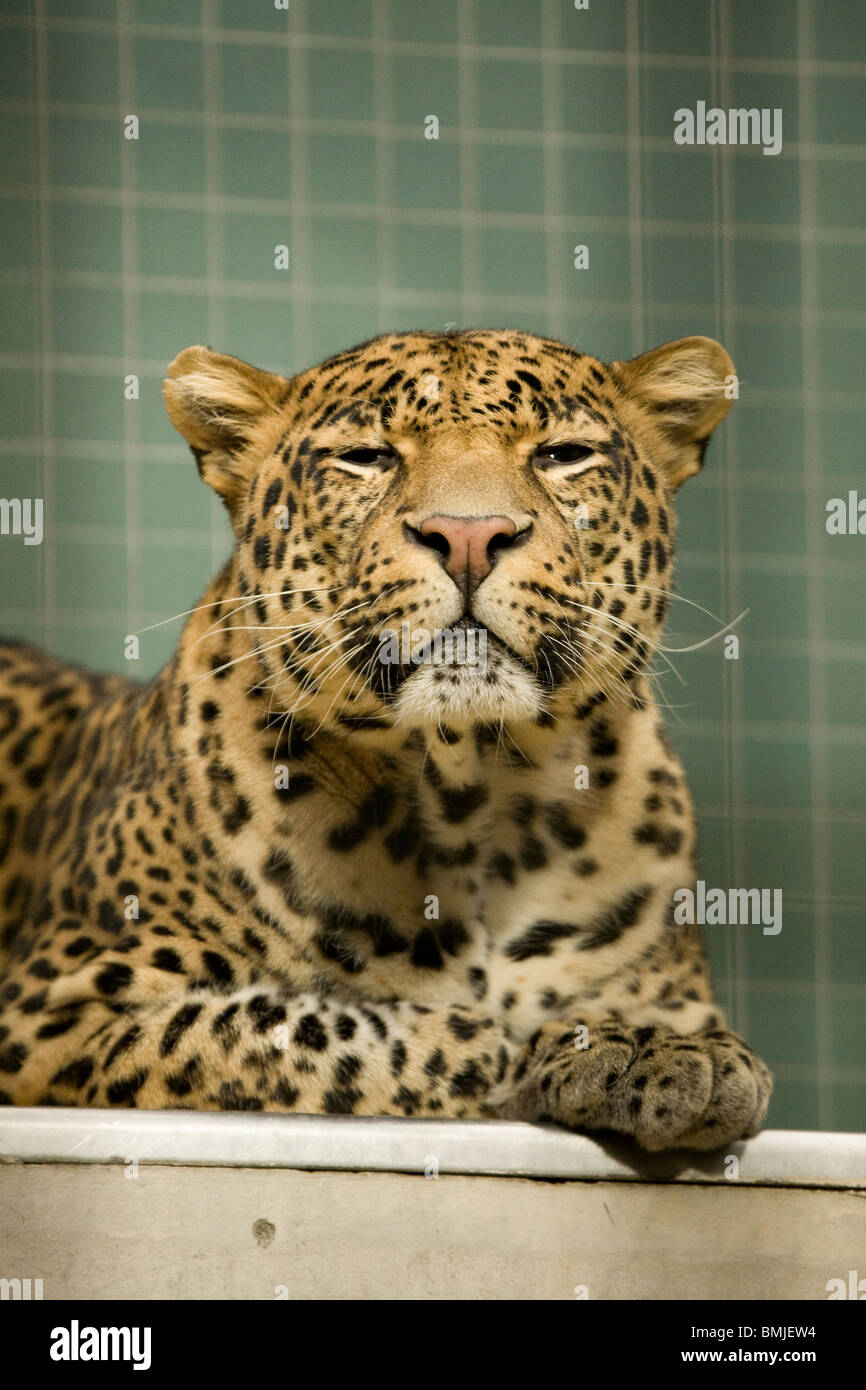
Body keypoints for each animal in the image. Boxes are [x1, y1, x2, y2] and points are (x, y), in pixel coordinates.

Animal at [0, 328, 772, 1152]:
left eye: (562, 454)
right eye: (368, 457)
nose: (469, 536)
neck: (469, 798)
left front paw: (663, 1050)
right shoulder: (62, 1008)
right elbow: (315, 1033)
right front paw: (507, 1047)